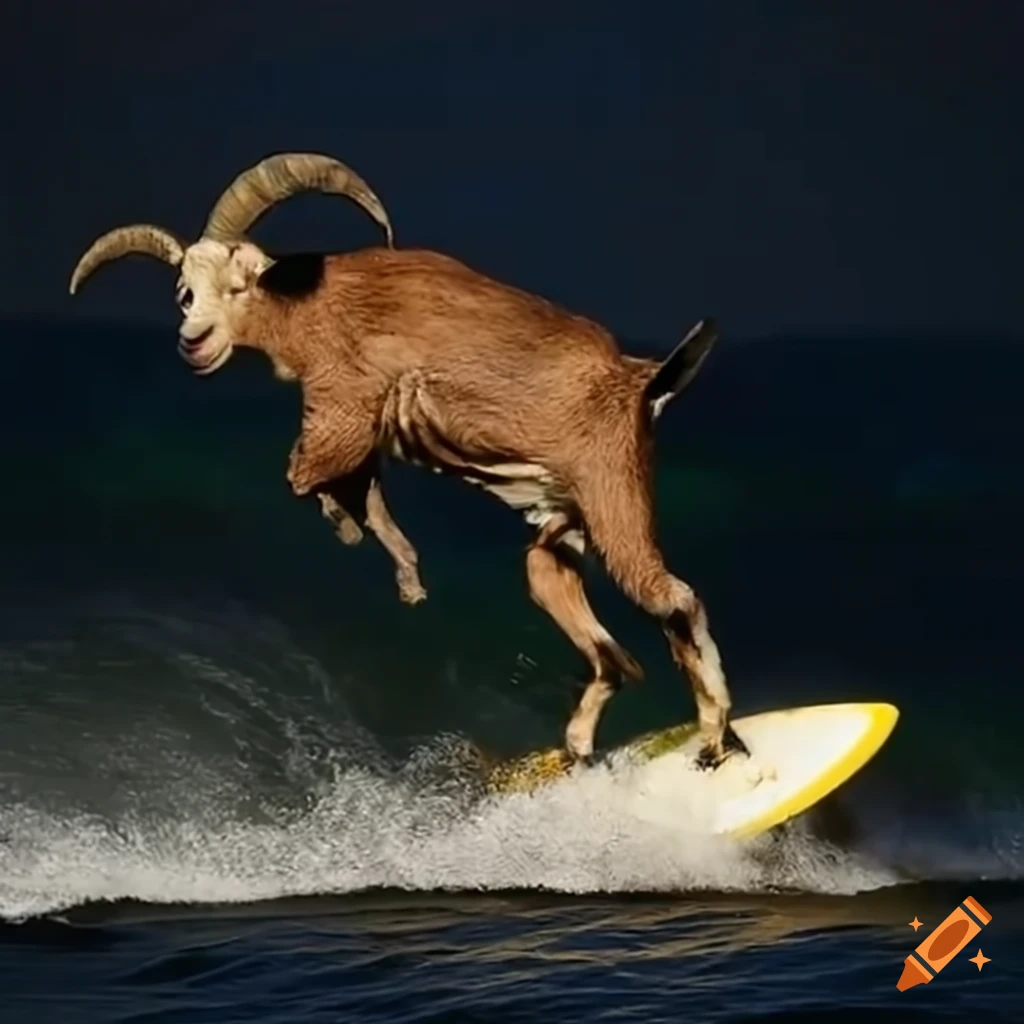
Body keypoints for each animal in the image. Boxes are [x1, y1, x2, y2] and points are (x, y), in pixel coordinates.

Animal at [68, 152, 748, 770]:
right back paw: (583, 742)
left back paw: (715, 739)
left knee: (676, 601)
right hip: (562, 528)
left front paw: (349, 531)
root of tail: (645, 381)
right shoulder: (367, 430)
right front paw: (408, 579)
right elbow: (357, 487)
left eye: (239, 286)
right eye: (186, 294)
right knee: (601, 639)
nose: (195, 341)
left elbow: (305, 475)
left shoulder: (342, 406)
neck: (308, 305)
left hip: (613, 498)